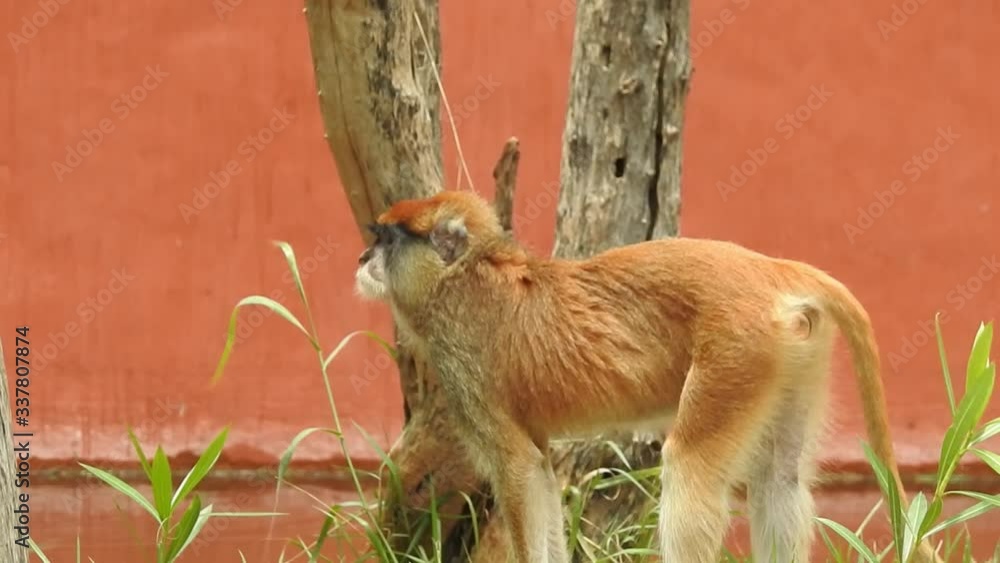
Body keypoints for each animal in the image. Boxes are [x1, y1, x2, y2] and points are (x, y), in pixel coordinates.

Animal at [354, 190, 941, 563]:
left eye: (387, 239)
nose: (362, 257)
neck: (465, 272)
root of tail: (770, 271)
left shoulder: (463, 362)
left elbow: (517, 470)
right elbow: (539, 473)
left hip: (737, 352)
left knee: (689, 469)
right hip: (790, 353)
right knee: (780, 480)